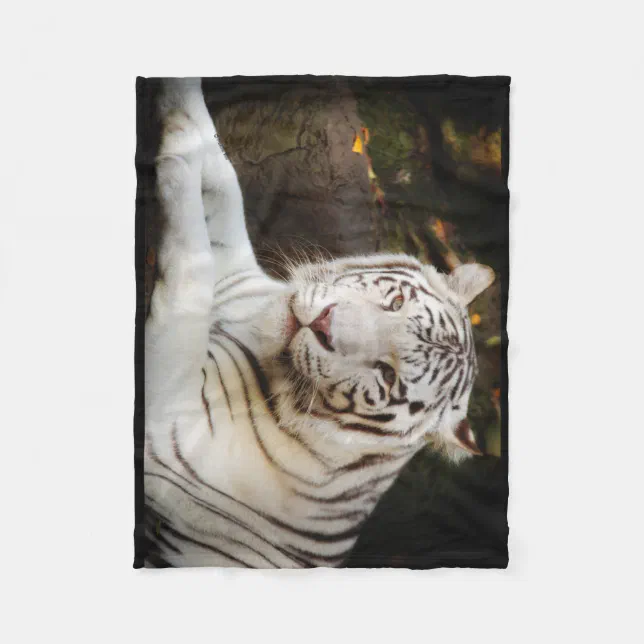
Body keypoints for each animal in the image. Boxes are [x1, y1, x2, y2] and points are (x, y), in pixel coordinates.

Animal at [141, 78, 495, 568]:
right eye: (396, 302)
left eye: (388, 376)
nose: (325, 325)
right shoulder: (233, 274)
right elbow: (222, 178)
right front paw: (180, 107)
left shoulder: (171, 420)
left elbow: (189, 272)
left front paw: (173, 172)